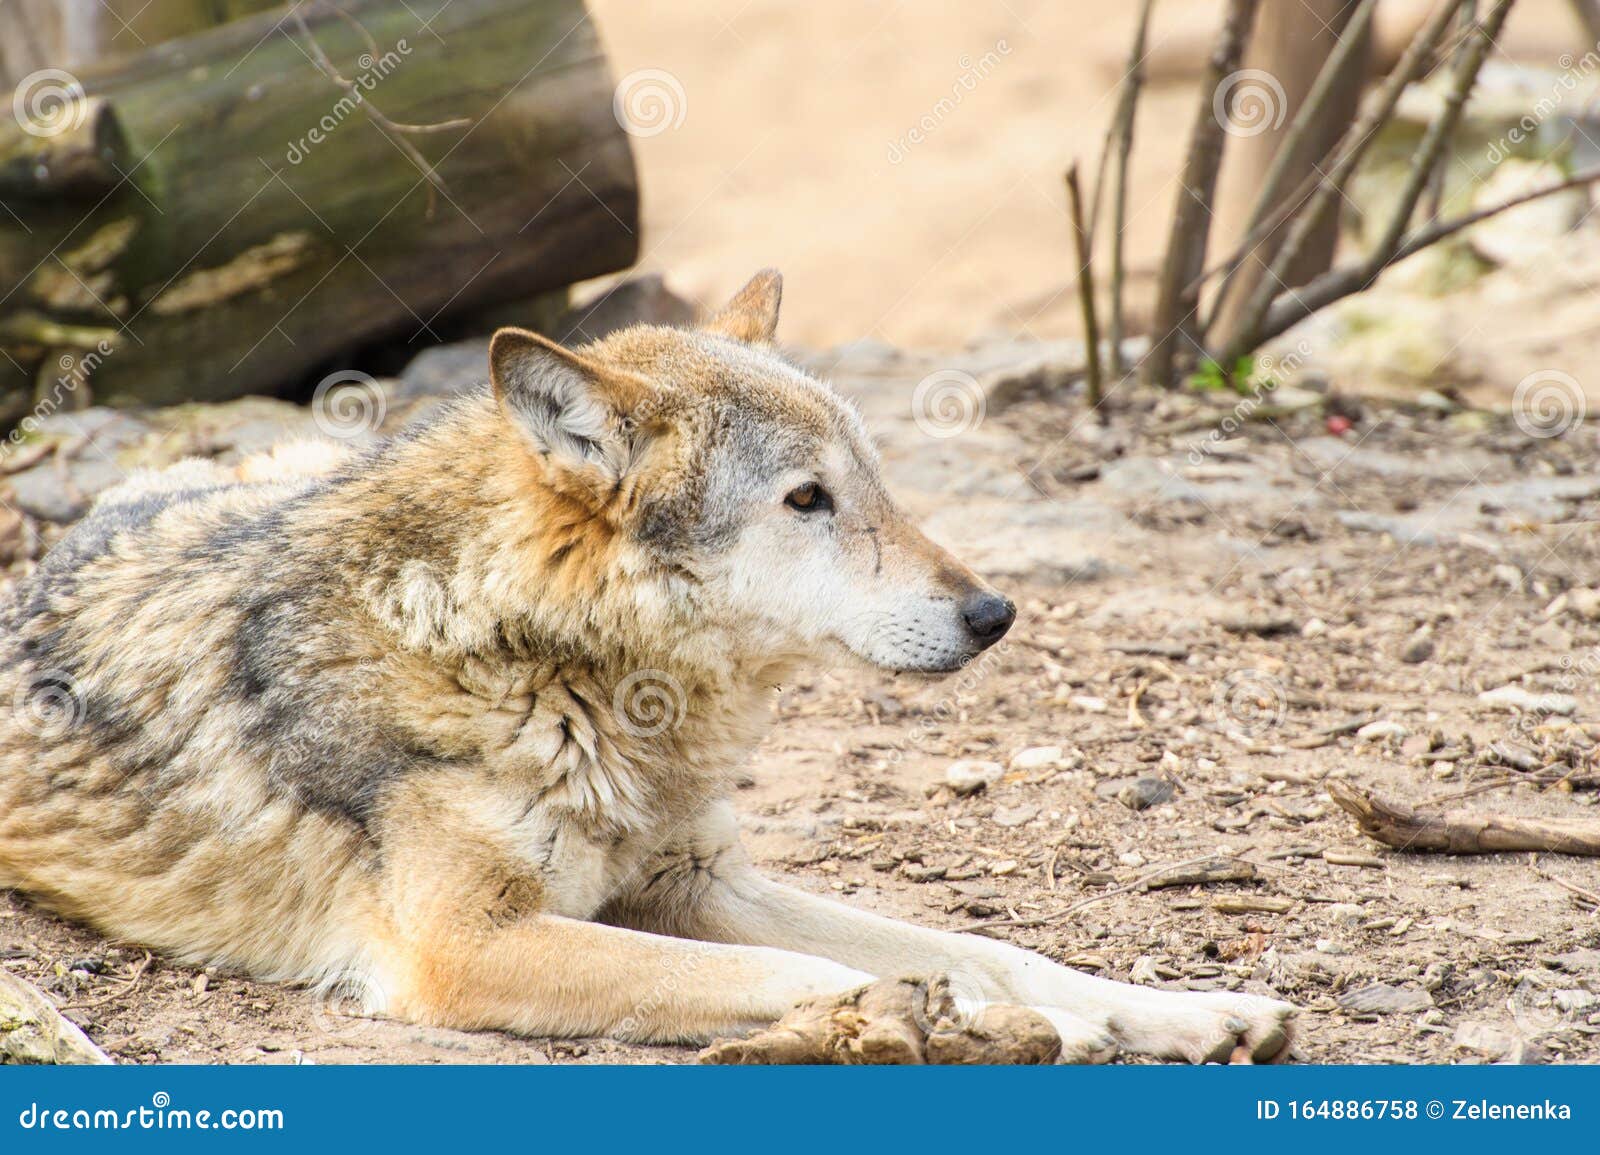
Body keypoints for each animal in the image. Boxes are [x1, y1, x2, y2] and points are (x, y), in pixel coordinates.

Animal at [0, 272, 1294, 1062]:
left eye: (877, 484)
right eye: (806, 501)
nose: (995, 613)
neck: (550, 673)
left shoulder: (699, 878)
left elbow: (991, 944)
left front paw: (1181, 1012)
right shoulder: (467, 950)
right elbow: (791, 968)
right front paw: (997, 1024)